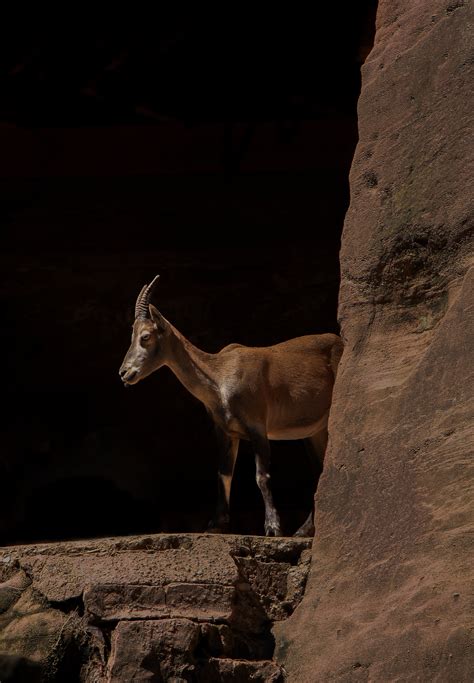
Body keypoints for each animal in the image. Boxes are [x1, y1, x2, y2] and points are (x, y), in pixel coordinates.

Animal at [119, 274, 343, 536]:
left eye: (145, 336)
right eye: (132, 336)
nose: (124, 373)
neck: (219, 376)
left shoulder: (258, 427)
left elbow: (261, 476)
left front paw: (272, 527)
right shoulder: (226, 432)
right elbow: (223, 474)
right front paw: (216, 524)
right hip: (314, 432)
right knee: (319, 470)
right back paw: (304, 529)